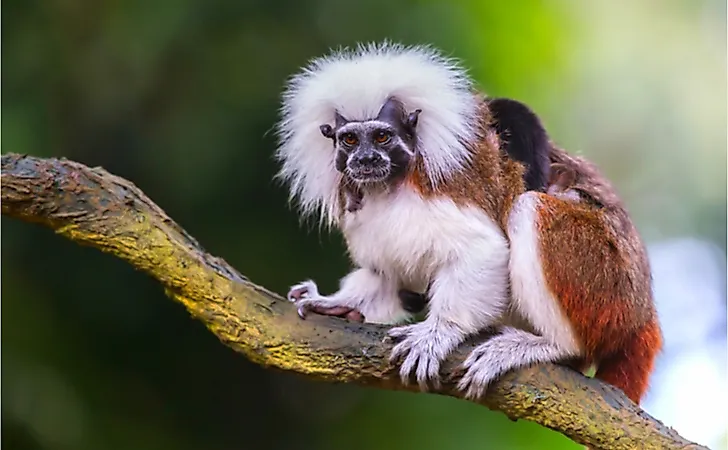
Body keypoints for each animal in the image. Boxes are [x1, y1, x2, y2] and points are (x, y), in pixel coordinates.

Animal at [275, 42, 662, 404]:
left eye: (382, 136)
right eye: (350, 139)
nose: (366, 159)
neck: (388, 188)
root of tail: (641, 313)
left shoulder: (437, 194)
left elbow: (482, 250)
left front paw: (439, 333)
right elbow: (387, 278)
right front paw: (336, 302)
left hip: (606, 287)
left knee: (529, 209)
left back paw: (553, 346)